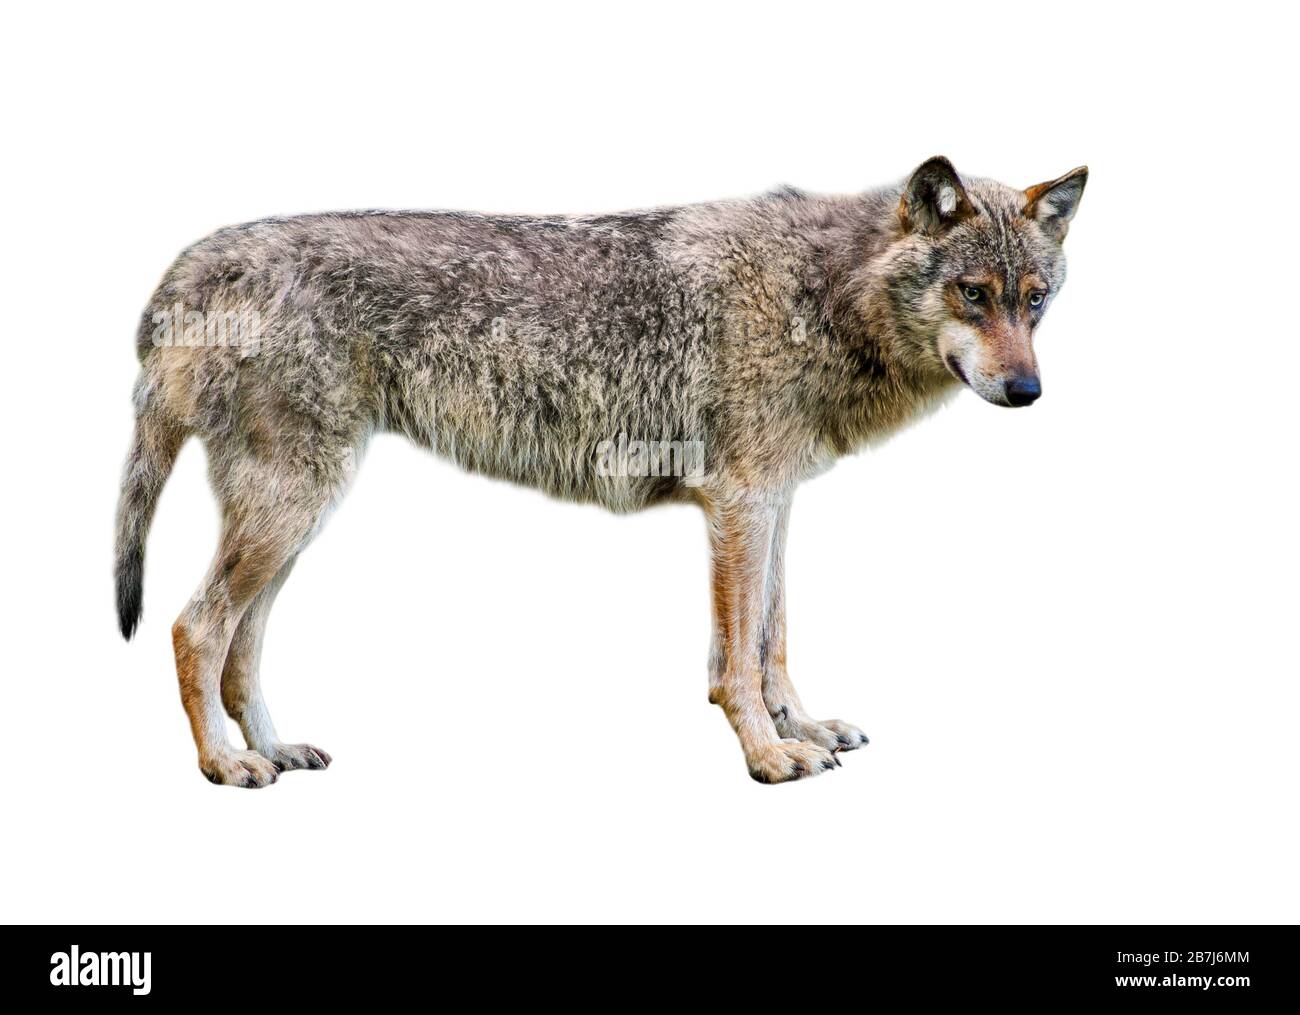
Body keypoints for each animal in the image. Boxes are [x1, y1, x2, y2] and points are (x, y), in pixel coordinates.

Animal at [114, 156, 1086, 786]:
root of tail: (190, 264)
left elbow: (771, 640)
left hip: (295, 524)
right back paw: (224, 764)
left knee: (239, 646)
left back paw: (273, 751)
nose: (1029, 391)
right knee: (193, 628)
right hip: (289, 512)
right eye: (972, 294)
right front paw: (768, 756)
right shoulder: (739, 504)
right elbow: (737, 662)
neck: (820, 291)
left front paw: (803, 728)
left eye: (1035, 301)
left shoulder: (773, 504)